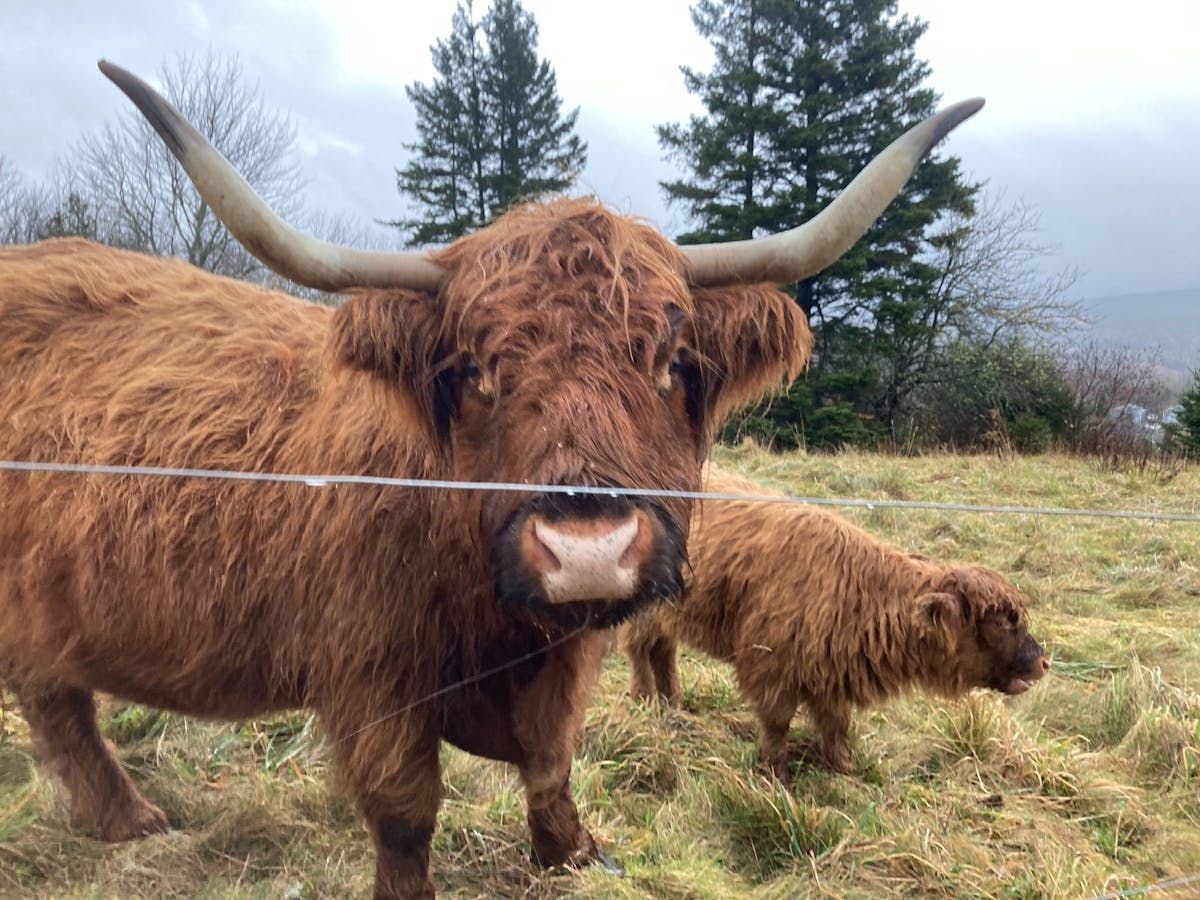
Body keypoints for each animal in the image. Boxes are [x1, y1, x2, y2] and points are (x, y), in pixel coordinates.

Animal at [0, 61, 981, 899]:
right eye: (475, 369)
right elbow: (405, 812)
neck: (495, 623)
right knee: (57, 704)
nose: (588, 552)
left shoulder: (561, 671)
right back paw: (131, 818)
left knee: (55, 699)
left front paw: (572, 852)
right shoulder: (371, 676)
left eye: (671, 361)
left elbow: (551, 764)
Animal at [621, 465, 1049, 779]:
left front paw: (844, 770)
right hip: (645, 608)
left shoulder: (830, 674)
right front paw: (776, 774)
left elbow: (836, 726)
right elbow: (777, 724)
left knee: (663, 650)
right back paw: (645, 702)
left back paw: (674, 704)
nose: (1044, 661)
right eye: (1001, 623)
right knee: (641, 650)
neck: (860, 596)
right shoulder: (771, 667)